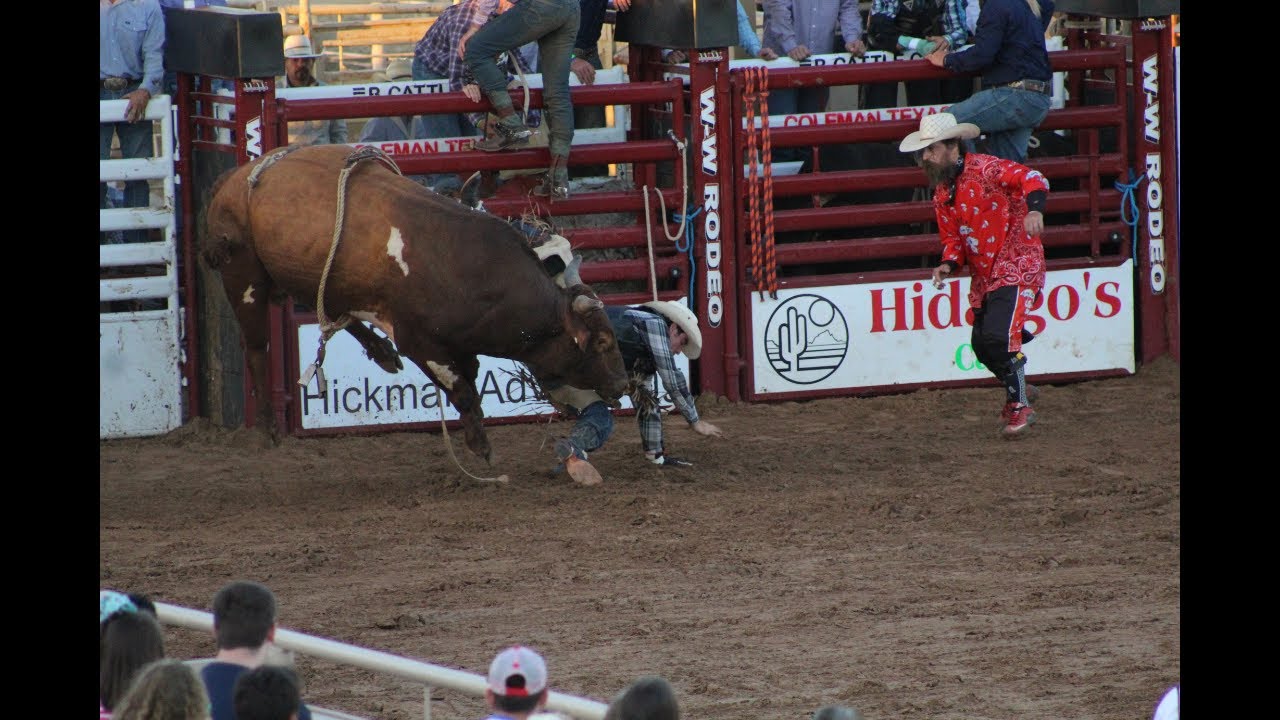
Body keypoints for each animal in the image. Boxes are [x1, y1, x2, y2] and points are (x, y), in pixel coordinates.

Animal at [201, 144, 629, 463]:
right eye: (602, 342)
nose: (622, 383)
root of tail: (234, 177)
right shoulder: (421, 342)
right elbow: (461, 389)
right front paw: (481, 448)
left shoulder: (459, 342)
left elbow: (470, 381)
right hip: (244, 275)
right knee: (256, 347)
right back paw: (269, 427)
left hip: (309, 272)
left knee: (332, 308)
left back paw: (381, 352)